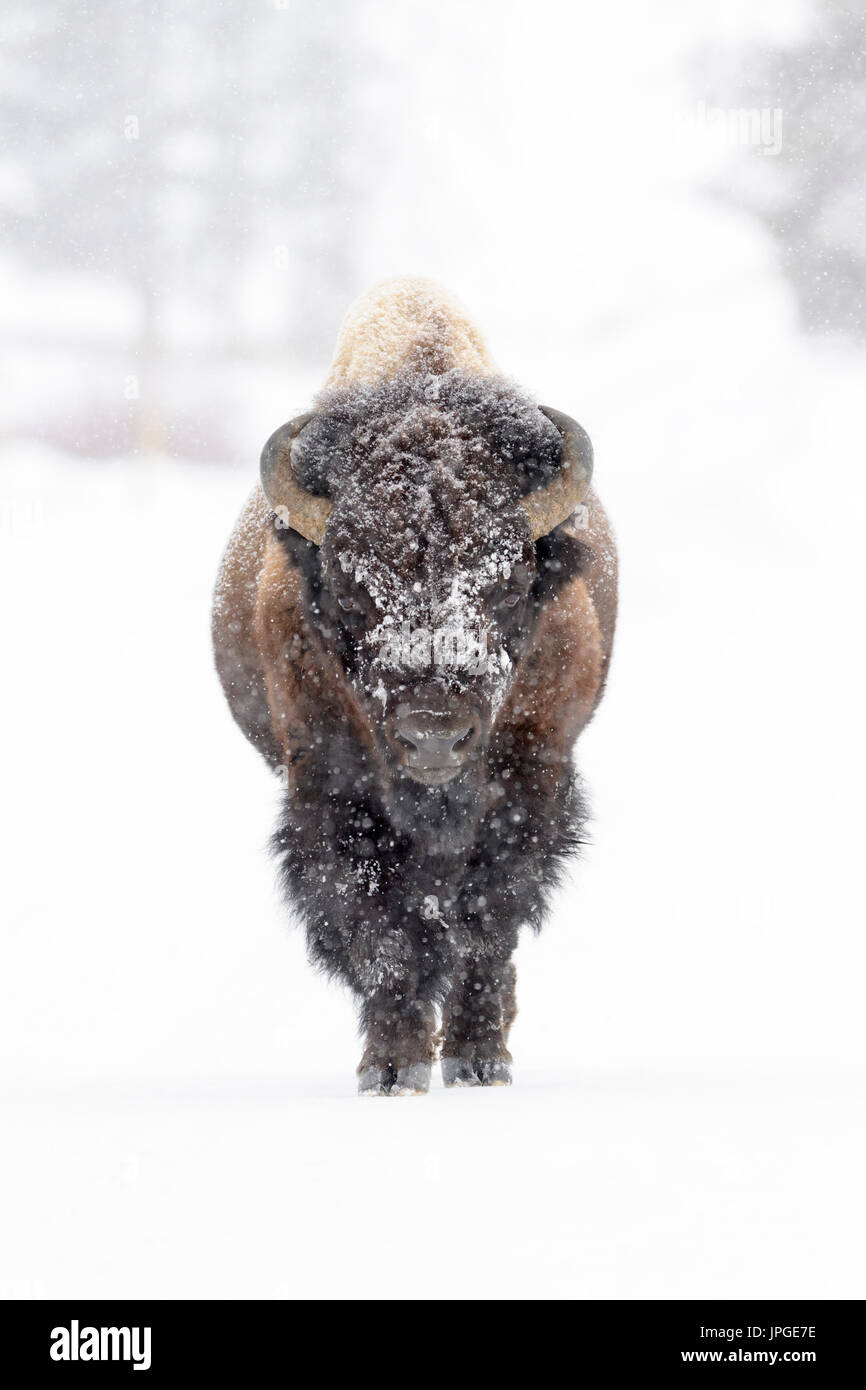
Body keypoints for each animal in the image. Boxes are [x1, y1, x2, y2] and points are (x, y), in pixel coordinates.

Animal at [212, 277, 617, 1095]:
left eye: (508, 582)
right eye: (351, 587)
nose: (434, 735)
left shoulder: (533, 778)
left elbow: (487, 918)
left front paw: (477, 1058)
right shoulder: (333, 789)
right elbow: (380, 927)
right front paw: (393, 1068)